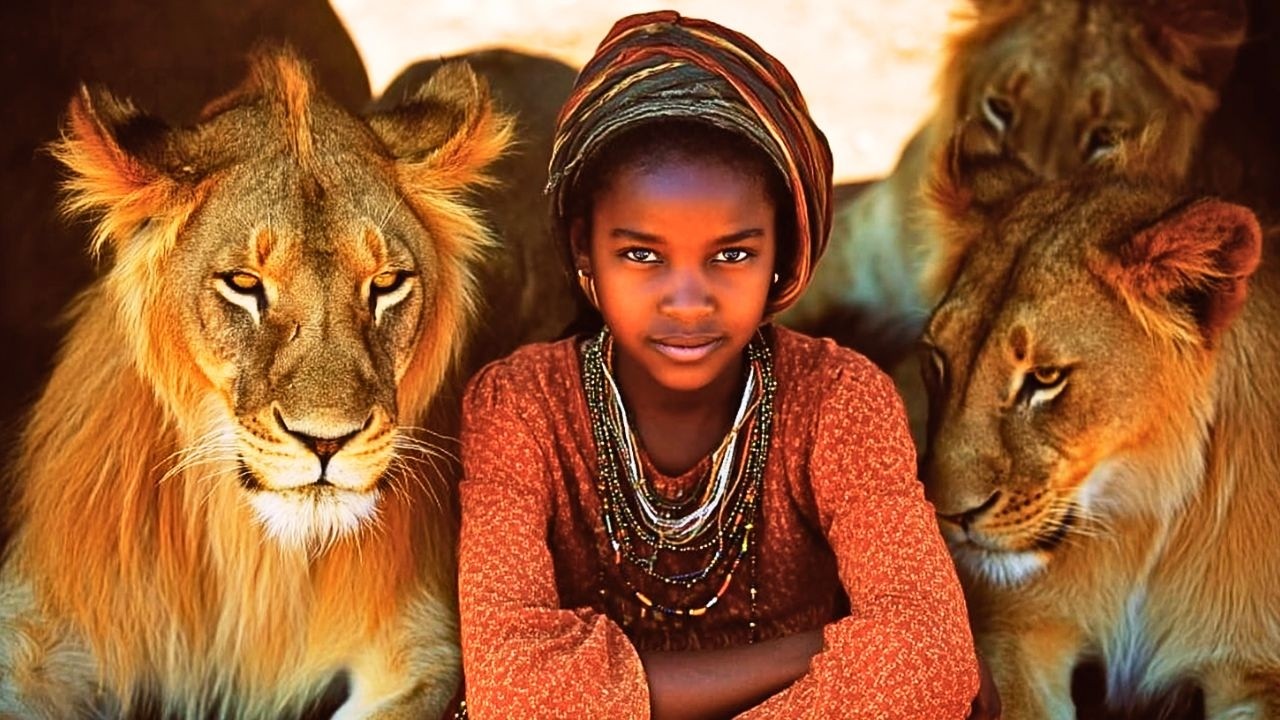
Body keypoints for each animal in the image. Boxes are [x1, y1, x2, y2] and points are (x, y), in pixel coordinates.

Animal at [0, 47, 516, 718]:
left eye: (386, 284)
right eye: (243, 283)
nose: (326, 441)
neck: (256, 551)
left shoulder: (418, 649)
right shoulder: (35, 624)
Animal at [918, 123, 1279, 718]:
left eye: (1044, 377)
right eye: (938, 359)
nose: (946, 515)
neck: (1147, 520)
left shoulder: (1254, 671)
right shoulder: (1021, 628)